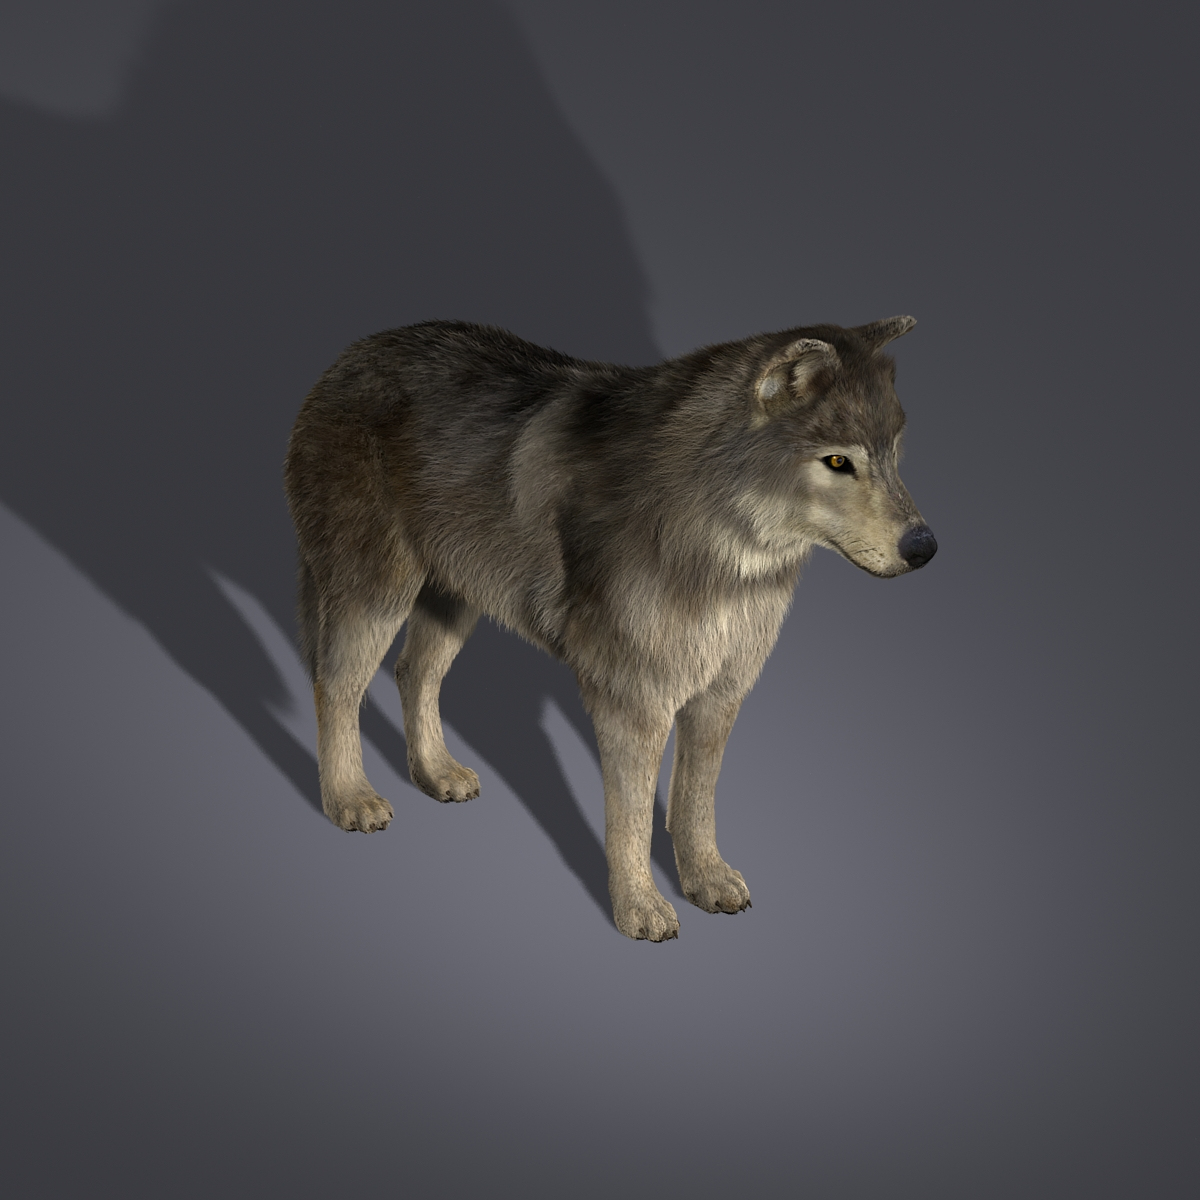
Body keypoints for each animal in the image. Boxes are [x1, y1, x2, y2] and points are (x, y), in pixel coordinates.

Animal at [283, 316, 936, 940]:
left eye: (895, 449)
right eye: (838, 461)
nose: (925, 548)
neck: (718, 537)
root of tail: (350, 357)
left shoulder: (718, 695)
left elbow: (695, 802)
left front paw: (706, 880)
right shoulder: (634, 700)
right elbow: (631, 820)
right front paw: (640, 910)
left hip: (455, 598)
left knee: (412, 671)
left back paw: (436, 773)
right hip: (377, 593)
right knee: (335, 684)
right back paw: (348, 799)